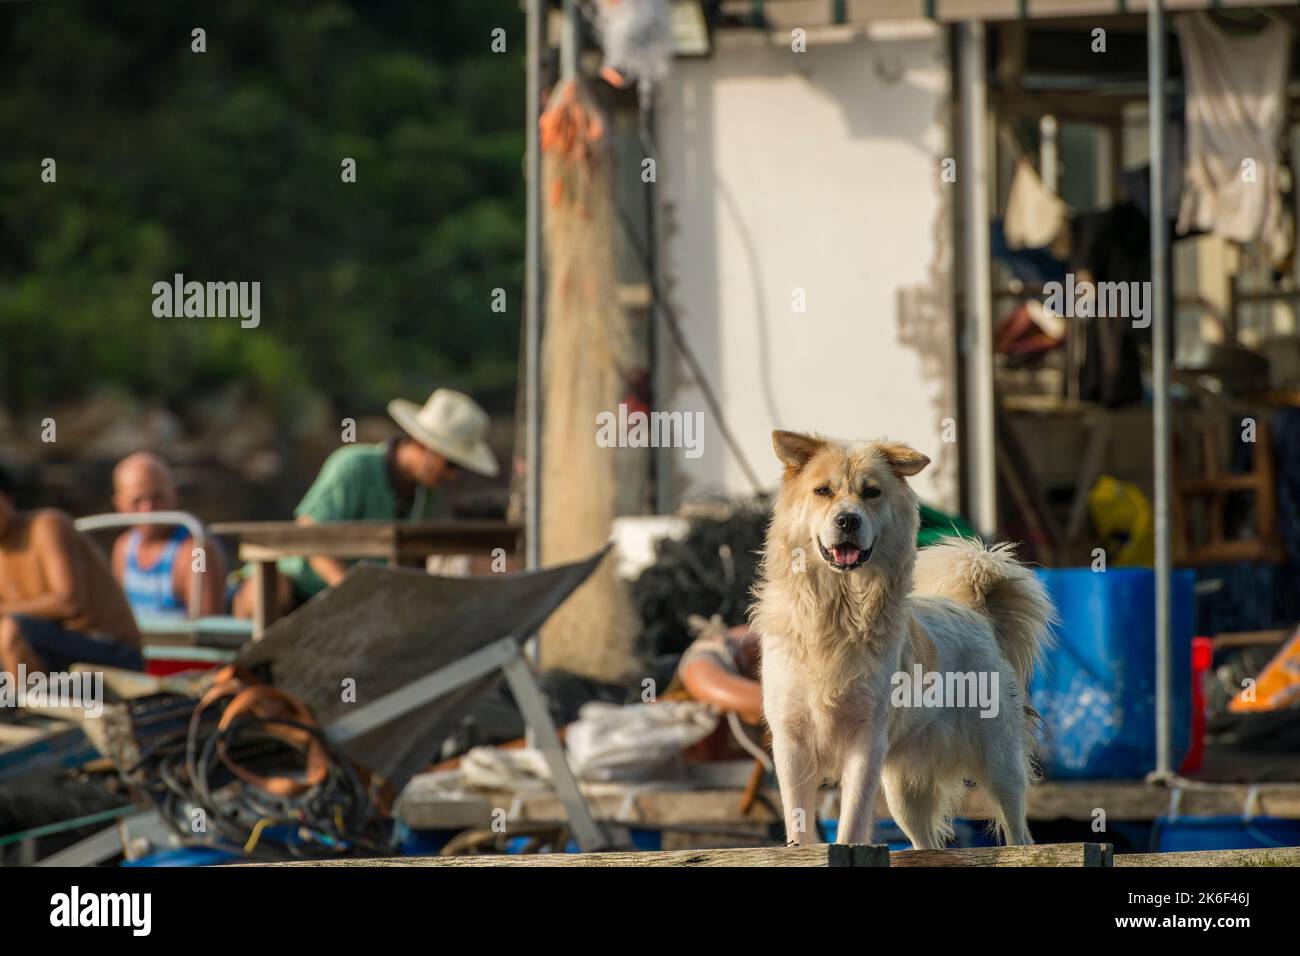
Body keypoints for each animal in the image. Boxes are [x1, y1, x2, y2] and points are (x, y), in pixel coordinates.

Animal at [754, 429, 1055, 848]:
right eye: (823, 491)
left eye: (871, 492)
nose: (848, 520)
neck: (836, 611)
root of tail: (977, 615)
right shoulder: (791, 742)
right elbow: (798, 821)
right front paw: (801, 850)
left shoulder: (867, 743)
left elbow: (851, 821)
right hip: (903, 793)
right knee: (926, 844)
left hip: (1001, 766)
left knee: (1019, 833)